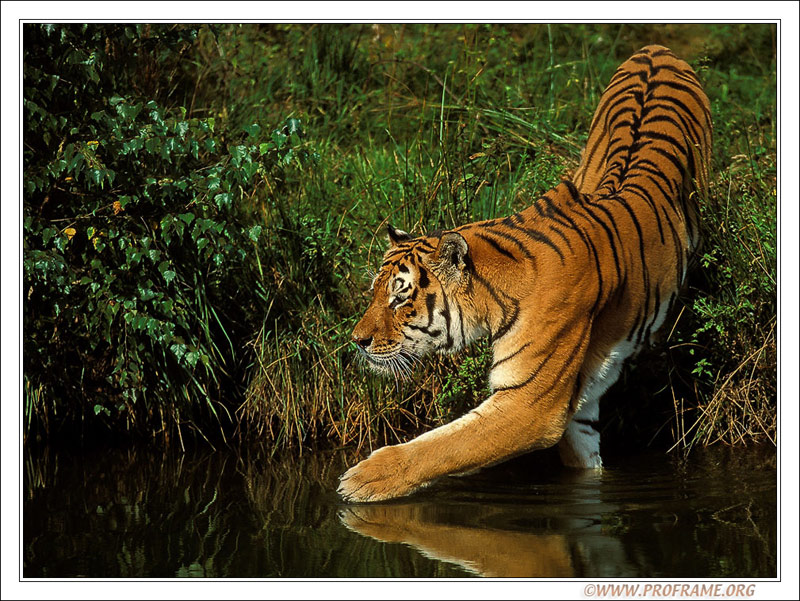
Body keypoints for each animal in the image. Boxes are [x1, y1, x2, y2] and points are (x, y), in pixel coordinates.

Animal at [338, 45, 712, 503]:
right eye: (376, 292)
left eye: (400, 297)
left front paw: (364, 479)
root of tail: (656, 48)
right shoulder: (576, 401)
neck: (496, 289)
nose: (356, 342)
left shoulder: (530, 403)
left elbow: (447, 444)